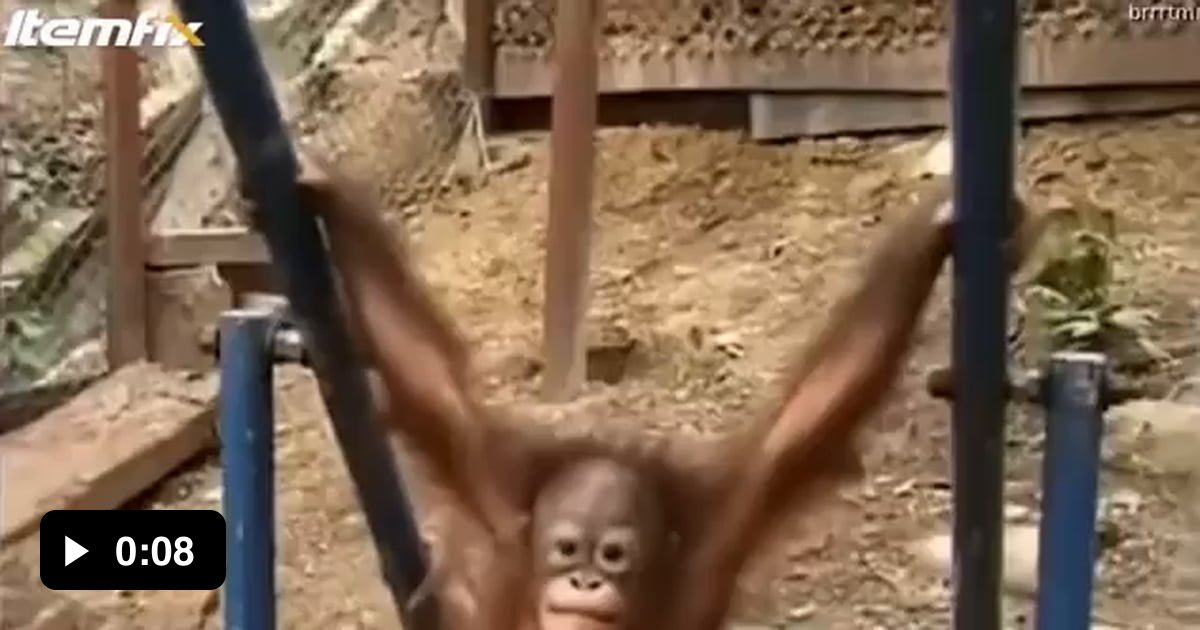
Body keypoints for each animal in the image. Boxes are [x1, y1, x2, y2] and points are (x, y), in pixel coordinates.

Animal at [295, 155, 1036, 630]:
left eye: (613, 557)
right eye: (566, 550)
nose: (584, 583)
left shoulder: (716, 531)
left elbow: (812, 409)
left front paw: (944, 222)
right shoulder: (498, 496)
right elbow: (426, 375)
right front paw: (322, 183)